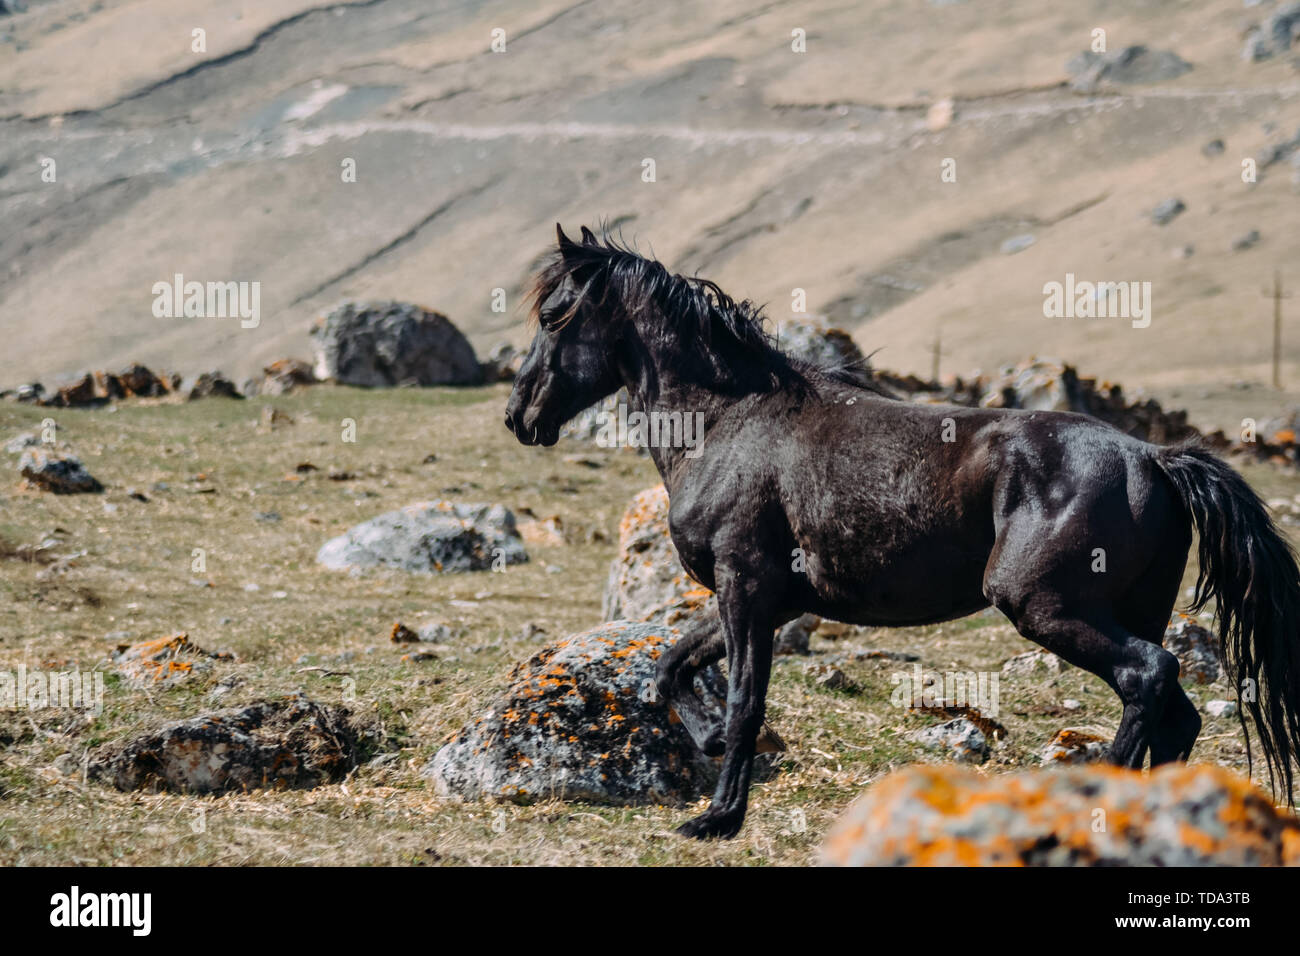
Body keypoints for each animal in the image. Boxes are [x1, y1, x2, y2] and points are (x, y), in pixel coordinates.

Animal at [505, 224, 1300, 839]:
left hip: (1045, 607)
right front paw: (706, 748)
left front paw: (718, 816)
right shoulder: (765, 600)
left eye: (554, 316)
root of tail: (1154, 459)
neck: (726, 423)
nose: (520, 415)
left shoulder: (746, 591)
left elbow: (742, 700)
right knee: (1176, 714)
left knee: (1148, 676)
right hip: (1129, 609)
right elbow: (672, 667)